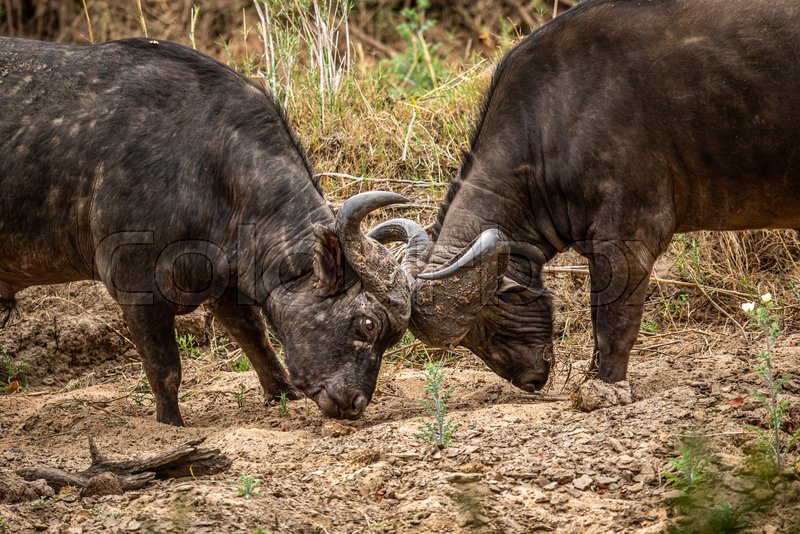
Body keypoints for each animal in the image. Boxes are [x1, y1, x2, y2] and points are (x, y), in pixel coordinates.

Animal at [0, 37, 413, 426]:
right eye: (368, 325)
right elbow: (164, 368)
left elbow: (256, 338)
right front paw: (171, 423)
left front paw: (282, 395)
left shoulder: (224, 284)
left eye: (393, 338)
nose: (356, 403)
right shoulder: (136, 289)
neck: (209, 165)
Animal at [369, 0, 800, 392]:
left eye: (485, 323)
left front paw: (605, 386)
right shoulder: (597, 247)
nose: (529, 380)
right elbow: (597, 313)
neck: (555, 122)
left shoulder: (629, 240)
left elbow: (614, 320)